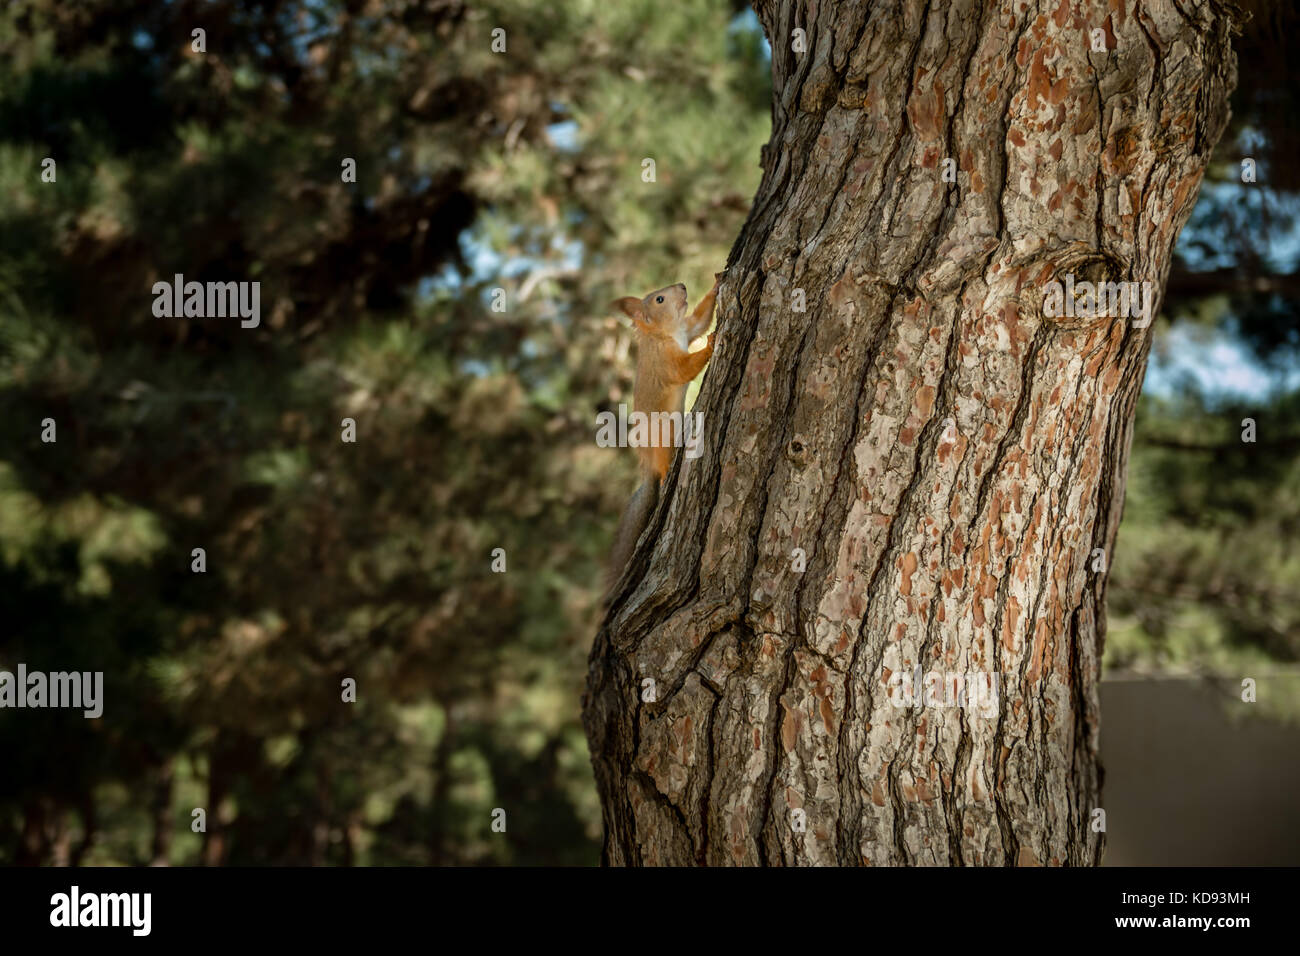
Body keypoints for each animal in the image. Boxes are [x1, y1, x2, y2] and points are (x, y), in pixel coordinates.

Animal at [605, 273, 721, 598]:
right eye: (659, 300)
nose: (682, 285)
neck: (663, 334)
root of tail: (649, 467)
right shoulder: (667, 364)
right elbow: (686, 369)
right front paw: (711, 344)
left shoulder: (687, 328)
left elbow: (700, 320)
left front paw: (717, 284)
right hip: (664, 441)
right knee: (666, 467)